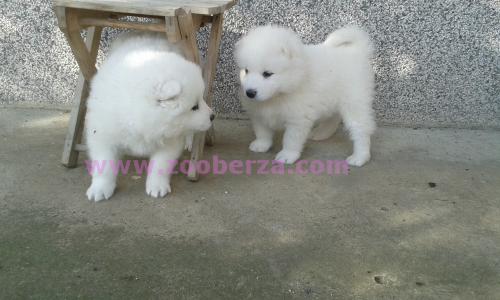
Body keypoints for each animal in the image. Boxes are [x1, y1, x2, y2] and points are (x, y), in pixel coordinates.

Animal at [84, 32, 213, 202]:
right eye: (194, 107)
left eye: (200, 102)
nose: (213, 116)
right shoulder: (102, 135)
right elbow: (104, 164)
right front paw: (100, 188)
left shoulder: (170, 140)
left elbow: (160, 165)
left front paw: (157, 187)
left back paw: (190, 142)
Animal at [235, 25, 376, 166]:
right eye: (246, 71)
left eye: (267, 74)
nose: (250, 93)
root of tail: (357, 50)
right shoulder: (258, 112)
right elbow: (262, 131)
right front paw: (261, 145)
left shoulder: (298, 118)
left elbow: (291, 139)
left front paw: (287, 155)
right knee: (333, 118)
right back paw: (321, 133)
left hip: (354, 101)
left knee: (360, 129)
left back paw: (360, 157)